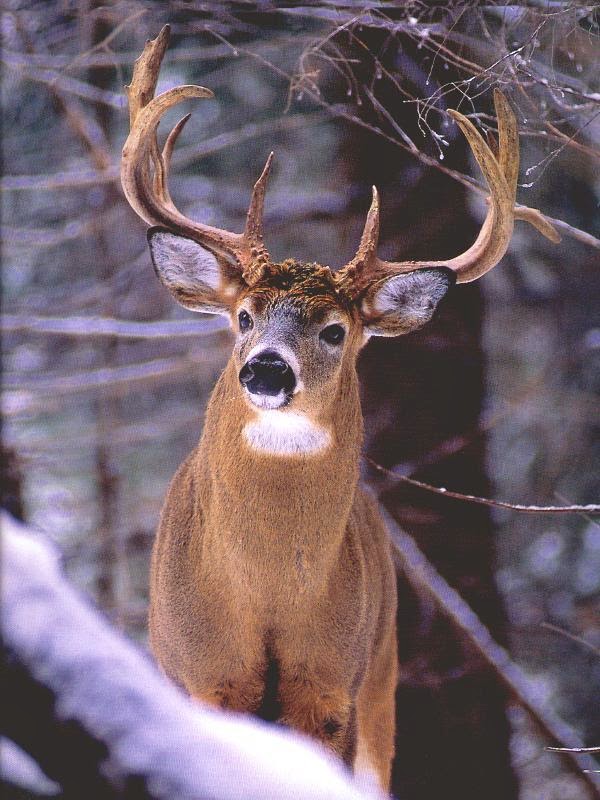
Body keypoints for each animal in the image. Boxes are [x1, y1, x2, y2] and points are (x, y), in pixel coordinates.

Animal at [121, 26, 559, 792]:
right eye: (243, 316)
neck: (265, 598)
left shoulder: (330, 686)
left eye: (334, 331)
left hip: (382, 681)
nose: (266, 368)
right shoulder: (201, 675)